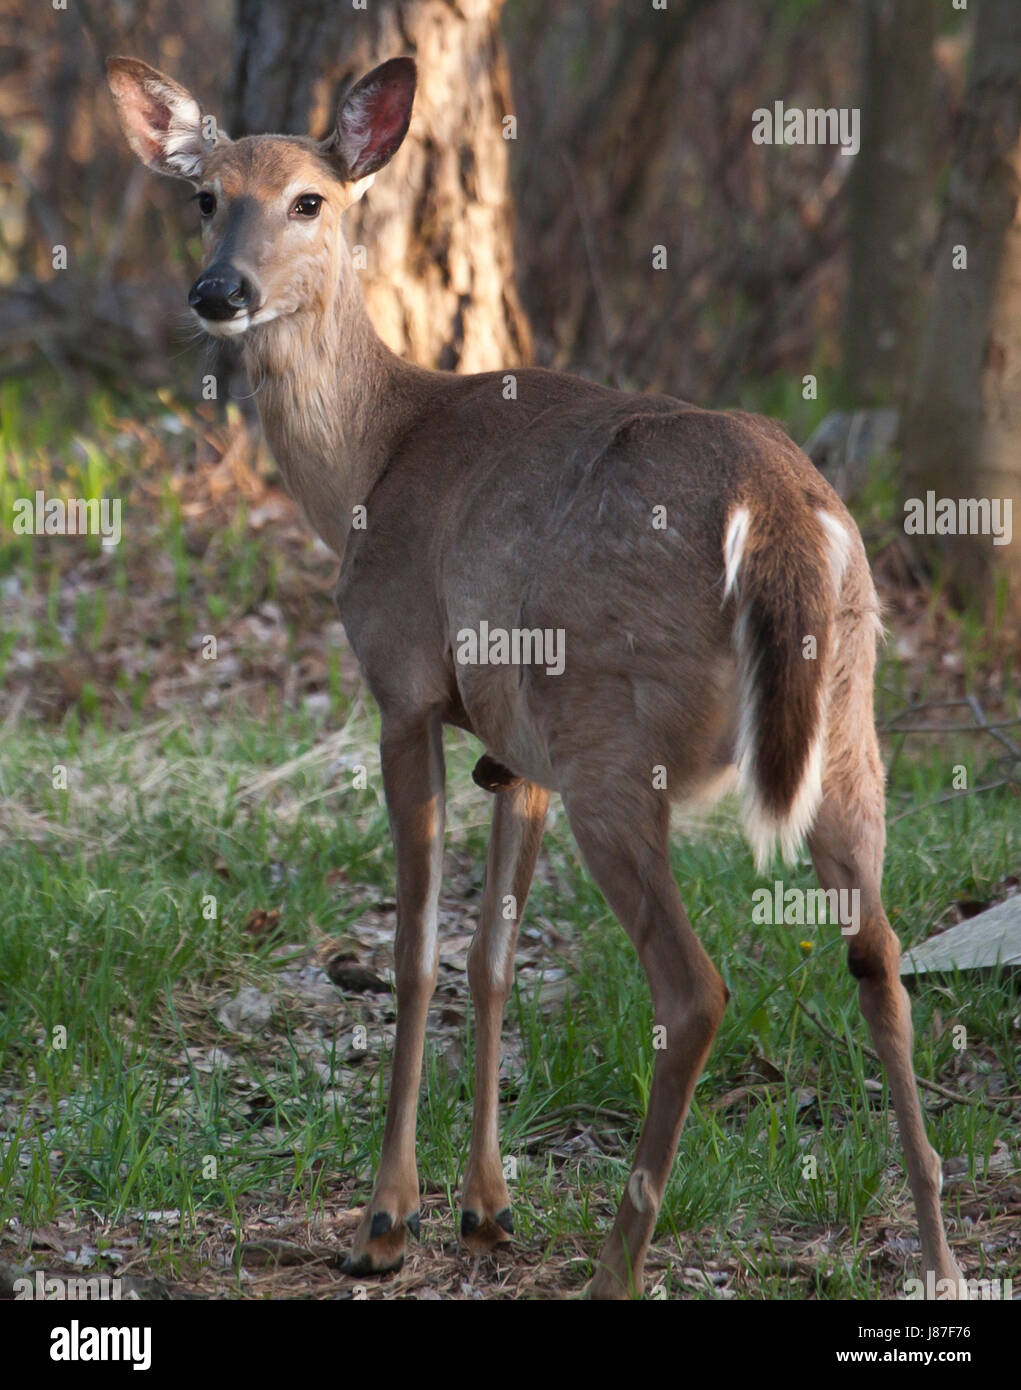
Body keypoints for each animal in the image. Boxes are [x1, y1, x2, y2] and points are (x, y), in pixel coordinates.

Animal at [107, 53, 967, 1300]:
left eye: (310, 199)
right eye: (205, 197)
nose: (218, 291)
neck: (371, 459)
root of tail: (781, 511)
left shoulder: (406, 682)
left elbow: (418, 952)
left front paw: (386, 1220)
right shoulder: (517, 751)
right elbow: (491, 959)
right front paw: (485, 1209)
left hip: (617, 734)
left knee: (695, 989)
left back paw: (617, 1262)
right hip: (844, 731)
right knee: (880, 958)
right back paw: (940, 1254)